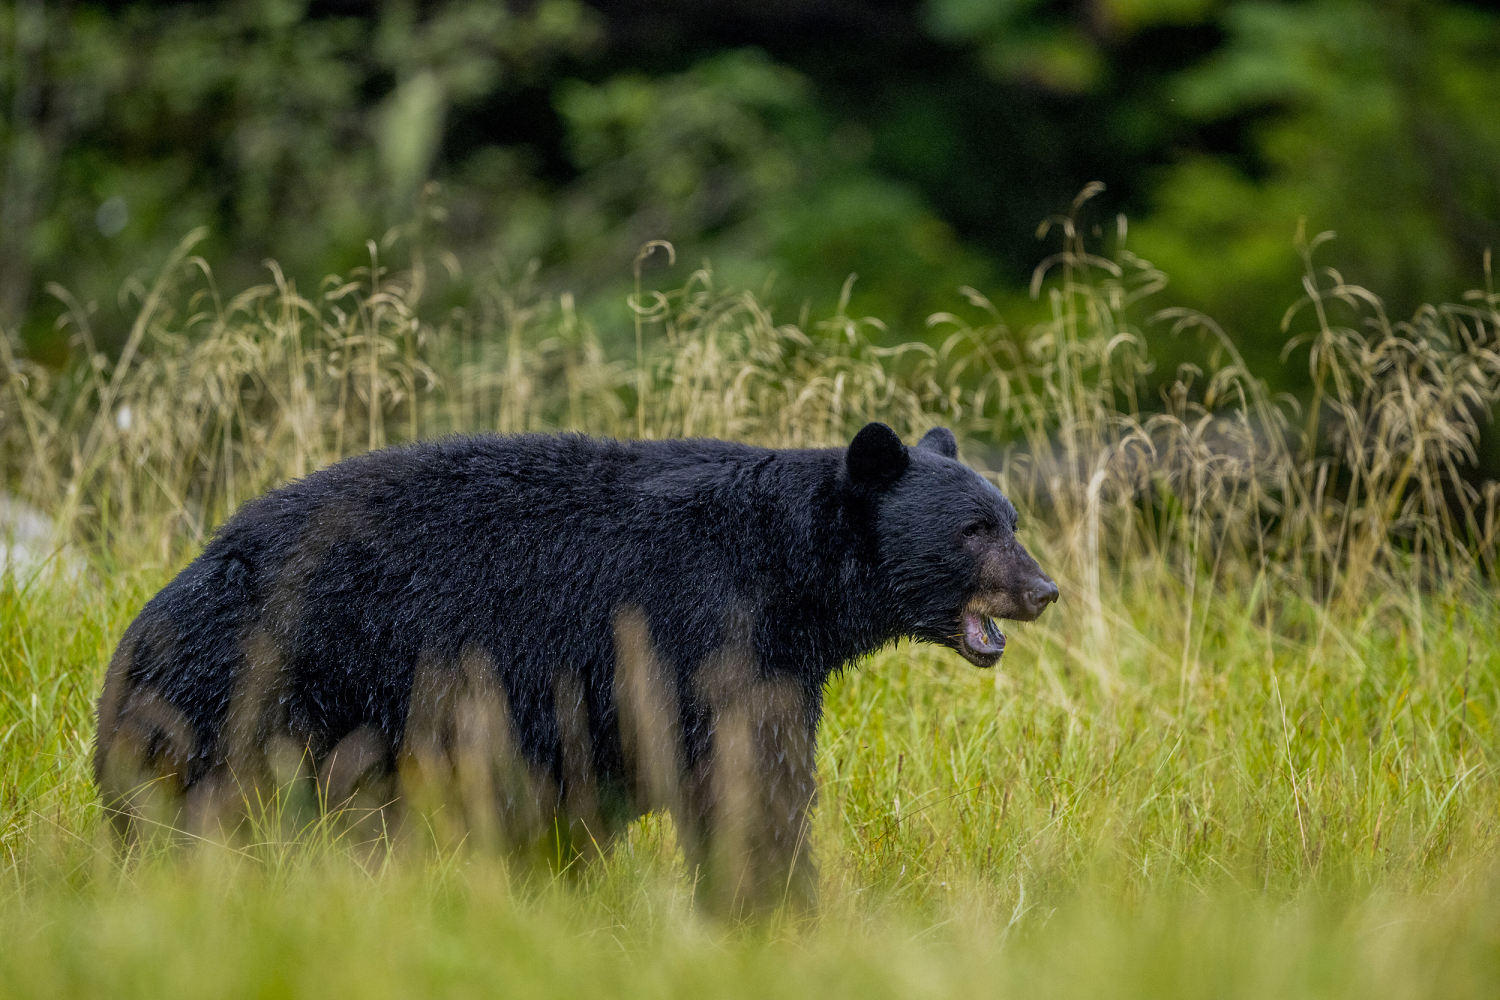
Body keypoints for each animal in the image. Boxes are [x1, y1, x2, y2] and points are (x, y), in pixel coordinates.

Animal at [94, 421, 1057, 911]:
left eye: (1010, 517)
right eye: (975, 530)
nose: (1043, 589)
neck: (787, 580)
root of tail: (135, 638)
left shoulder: (761, 663)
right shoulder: (690, 635)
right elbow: (743, 780)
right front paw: (772, 904)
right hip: (253, 700)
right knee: (218, 813)